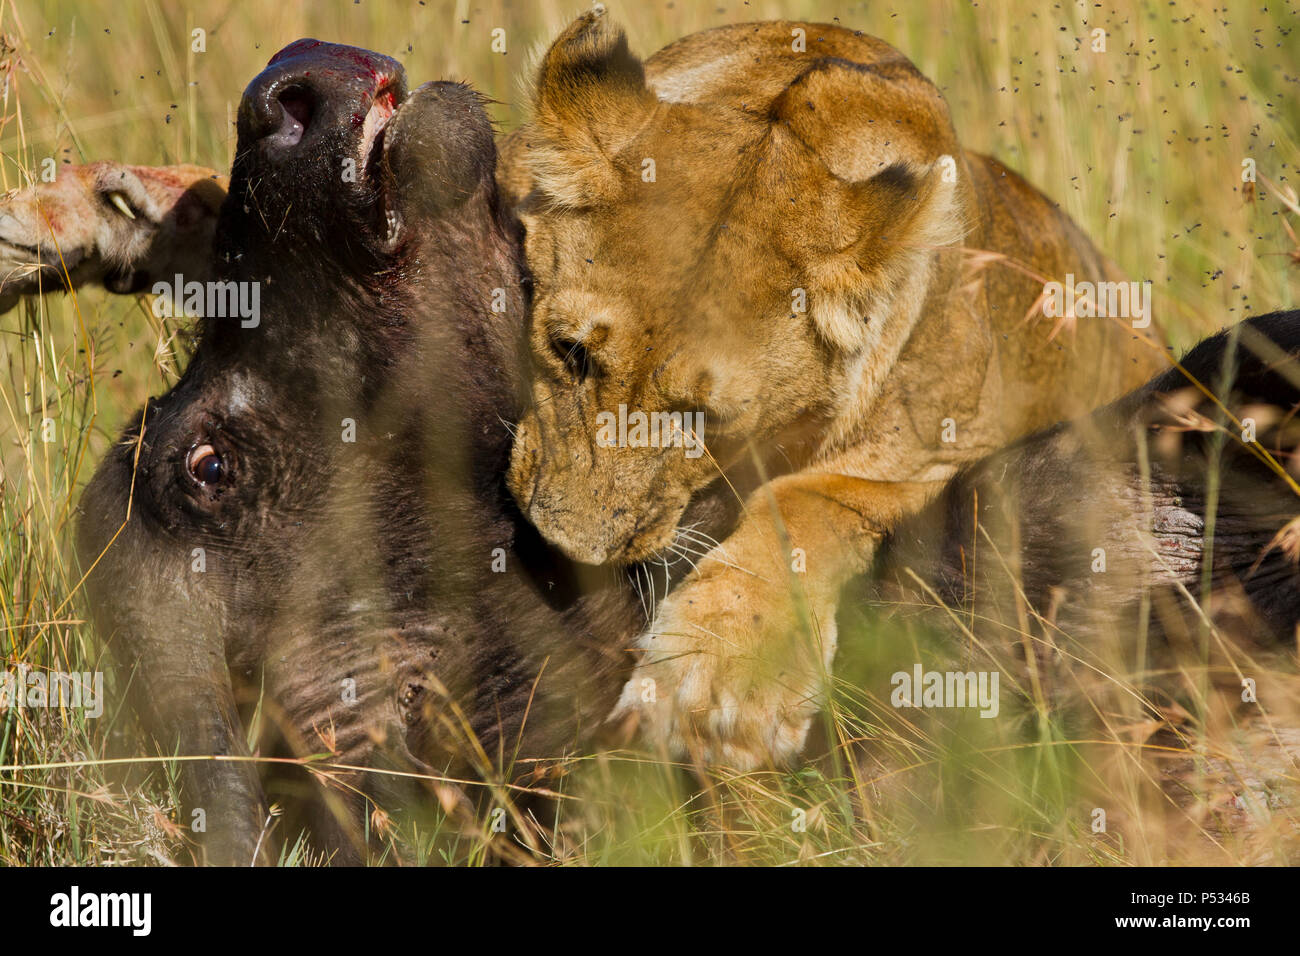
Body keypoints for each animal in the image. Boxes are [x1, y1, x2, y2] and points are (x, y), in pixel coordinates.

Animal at [503, 11, 1168, 769]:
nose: (569, 551)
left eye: (705, 419)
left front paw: (722, 682)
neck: (787, 104)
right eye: (571, 351)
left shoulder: (939, 452)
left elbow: (807, 502)